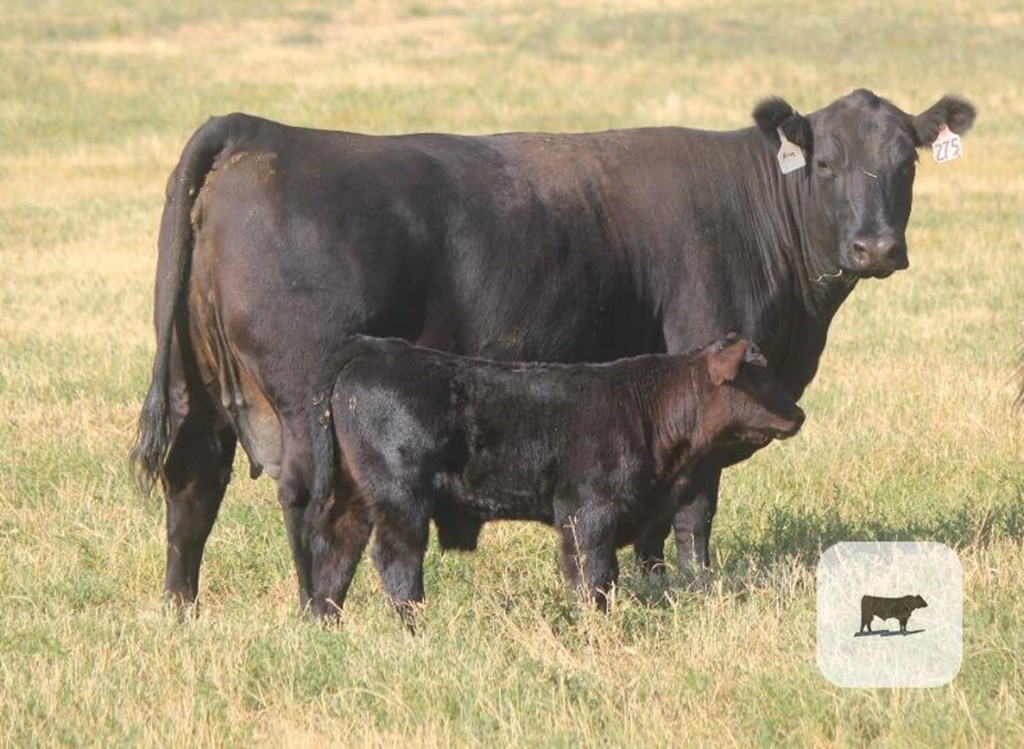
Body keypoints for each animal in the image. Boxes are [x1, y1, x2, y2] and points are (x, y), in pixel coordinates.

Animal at [307, 336, 804, 623]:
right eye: (759, 377)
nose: (799, 414)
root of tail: (372, 350)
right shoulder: (588, 514)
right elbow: (594, 575)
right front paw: (596, 626)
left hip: (353, 496)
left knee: (336, 550)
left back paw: (325, 623)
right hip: (400, 496)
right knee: (396, 559)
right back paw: (414, 627)